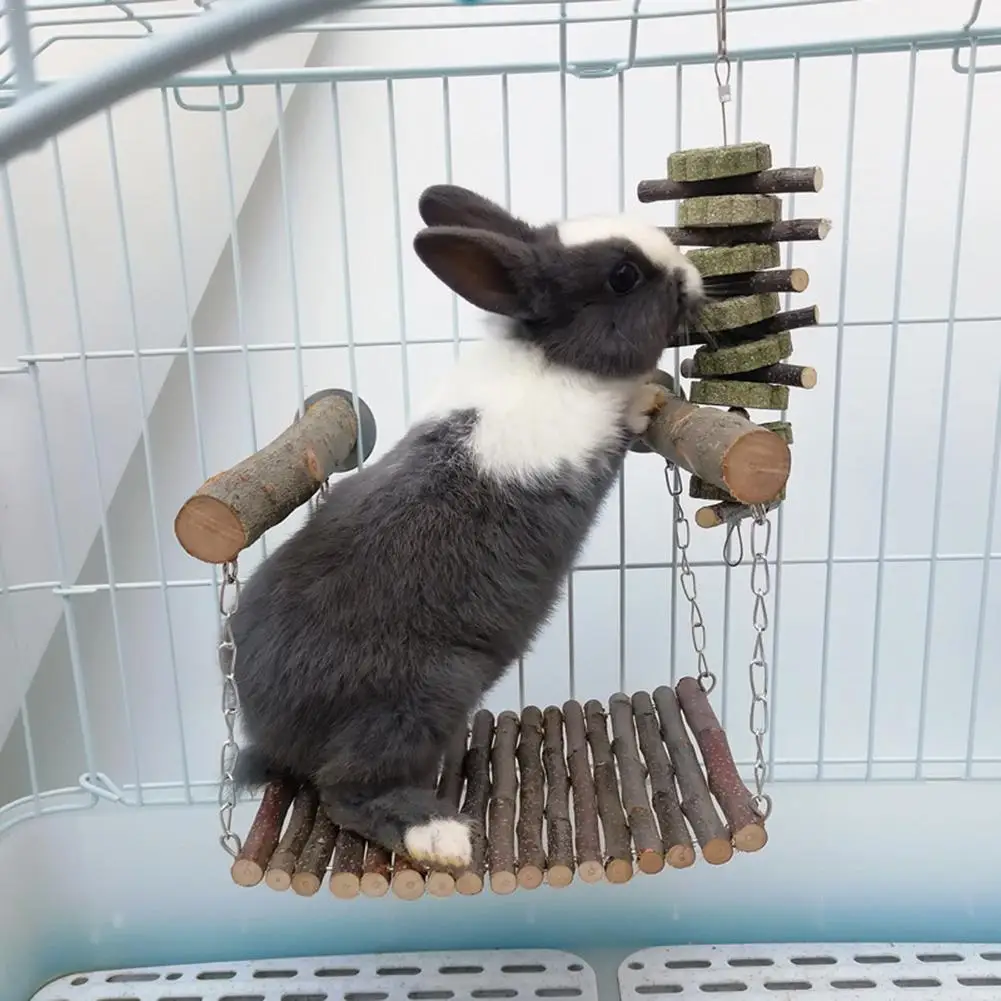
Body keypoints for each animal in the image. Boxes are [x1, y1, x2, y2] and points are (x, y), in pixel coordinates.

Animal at [229, 183, 704, 870]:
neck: (551, 358)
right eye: (623, 276)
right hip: (423, 696)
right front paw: (646, 397)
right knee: (346, 792)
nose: (692, 278)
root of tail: (272, 730)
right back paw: (440, 837)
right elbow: (624, 418)